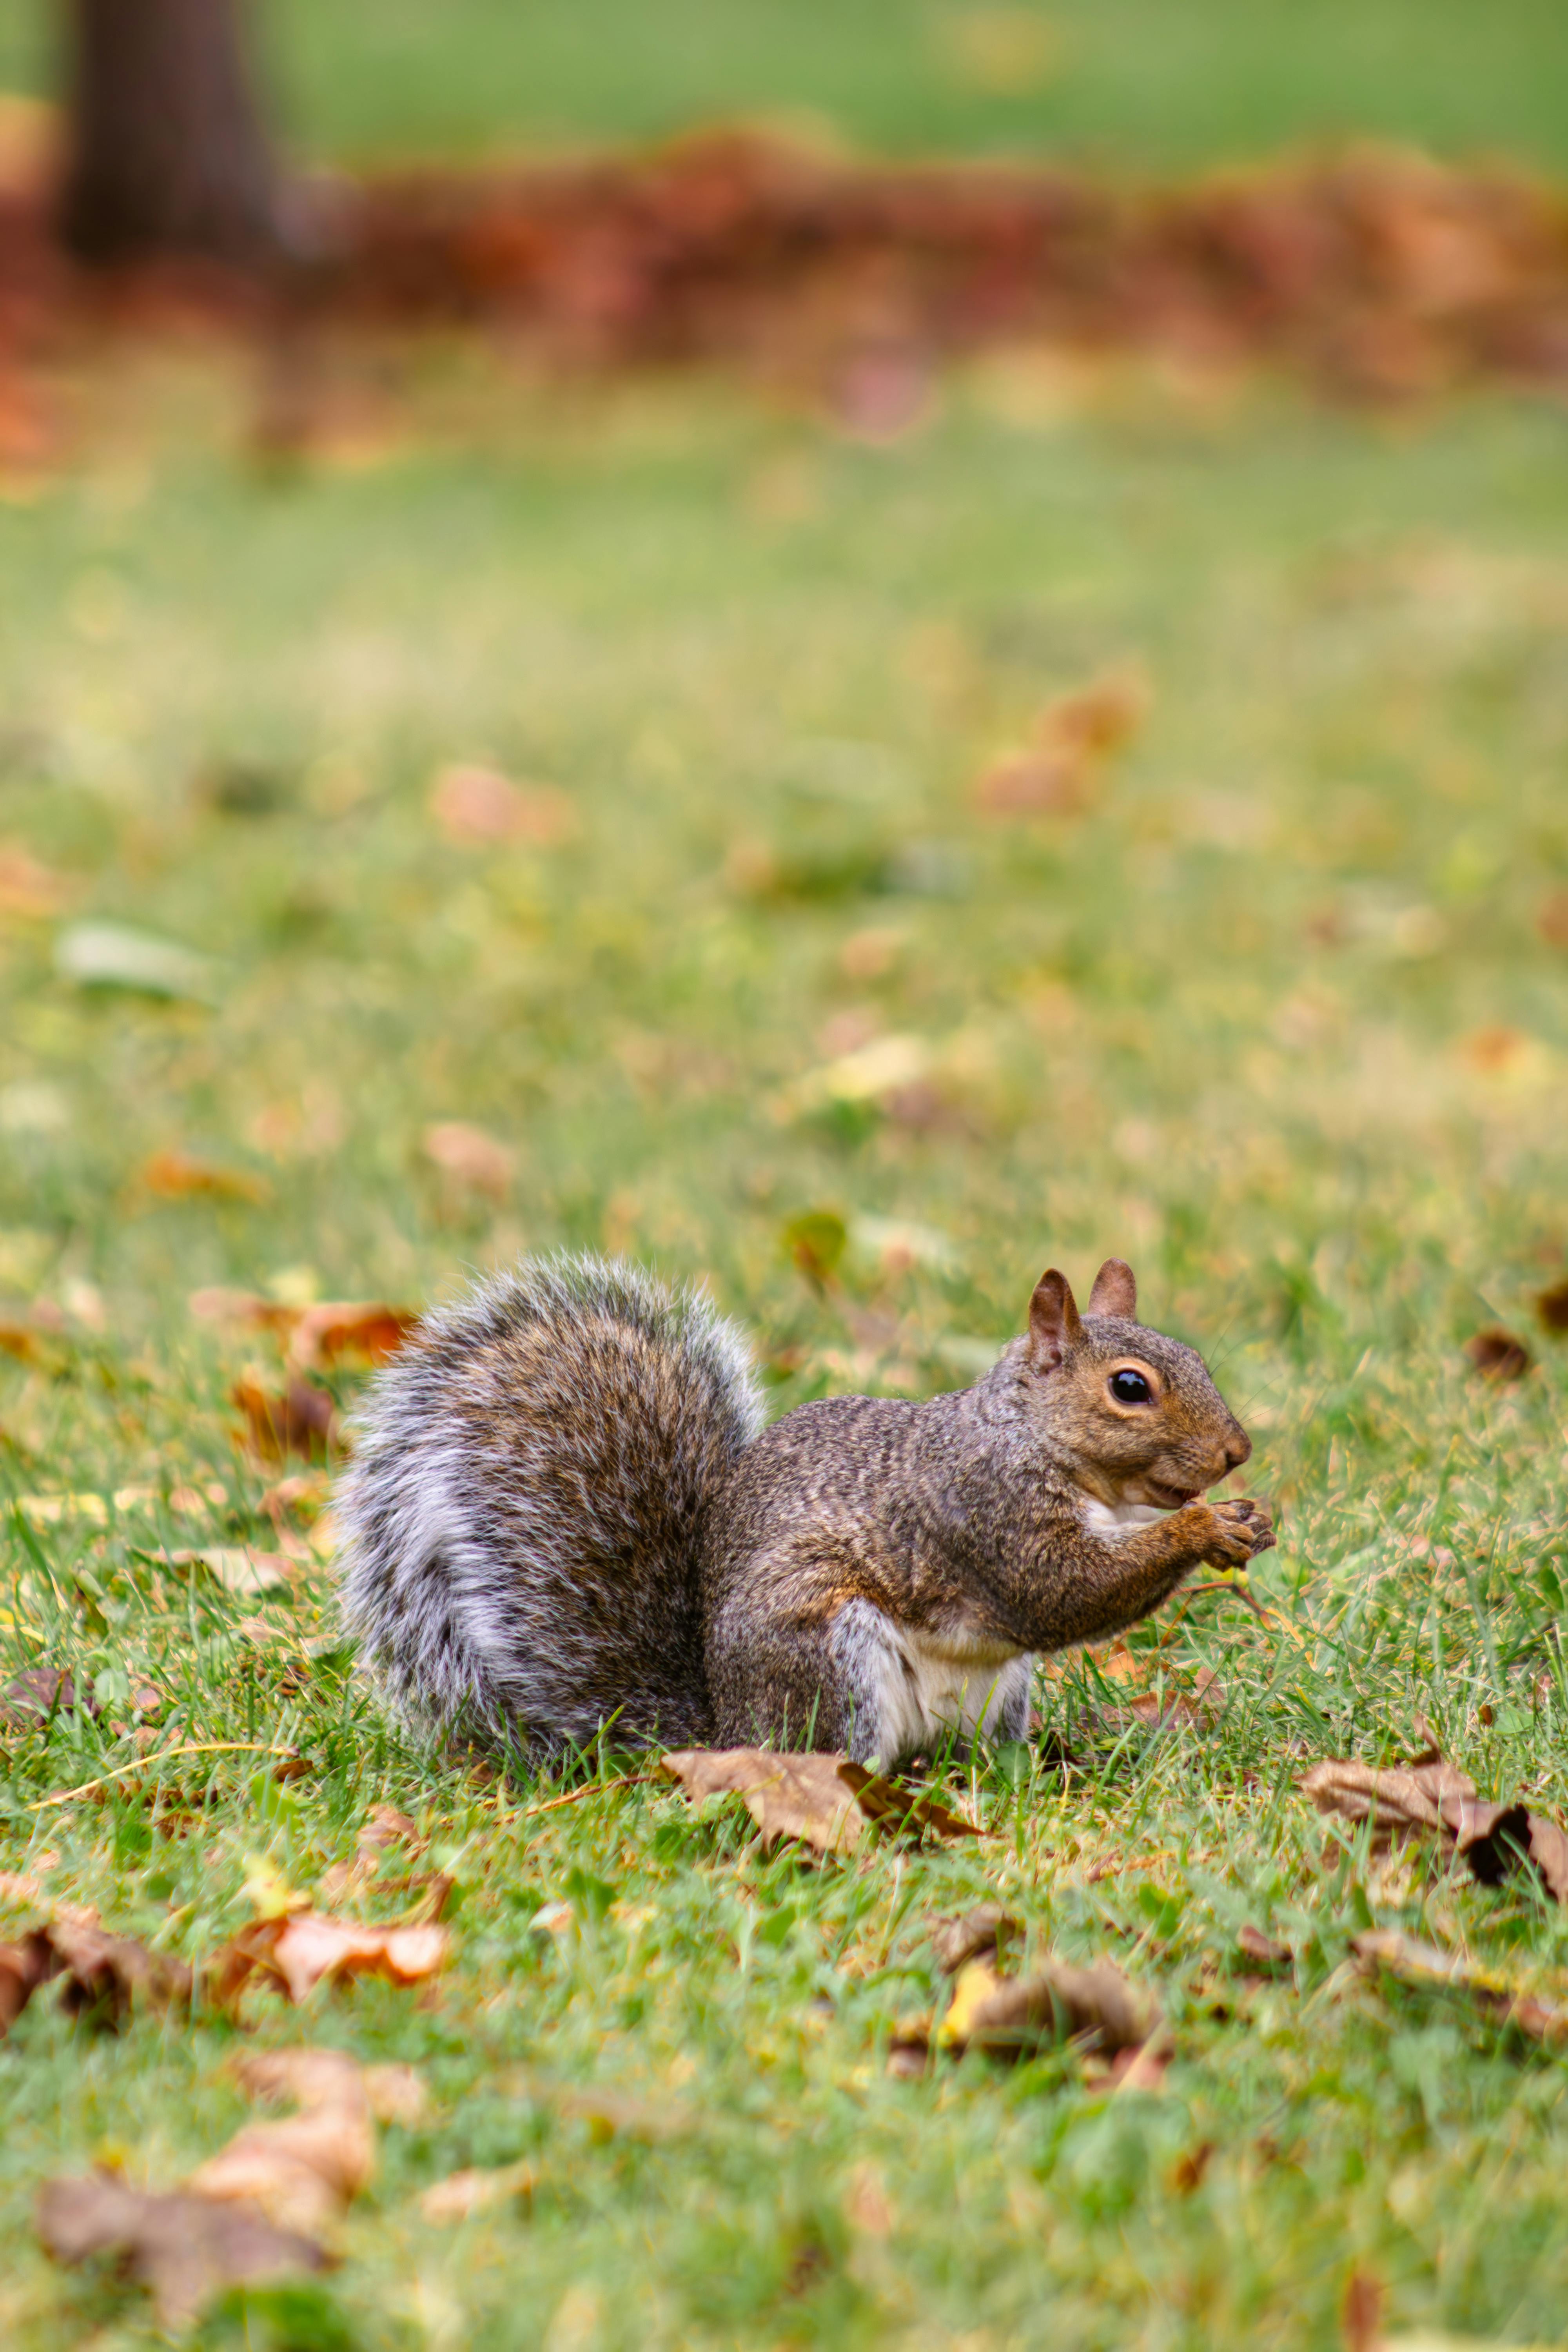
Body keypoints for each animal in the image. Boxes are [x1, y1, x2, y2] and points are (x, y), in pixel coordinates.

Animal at [338, 1251, 1274, 1768]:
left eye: (1194, 1357)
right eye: (1129, 1388)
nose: (1236, 1452)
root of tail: (726, 1730)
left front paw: (1243, 1524)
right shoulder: (981, 1512)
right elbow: (1059, 1593)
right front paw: (1203, 1527)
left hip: (996, 1691)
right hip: (828, 1654)